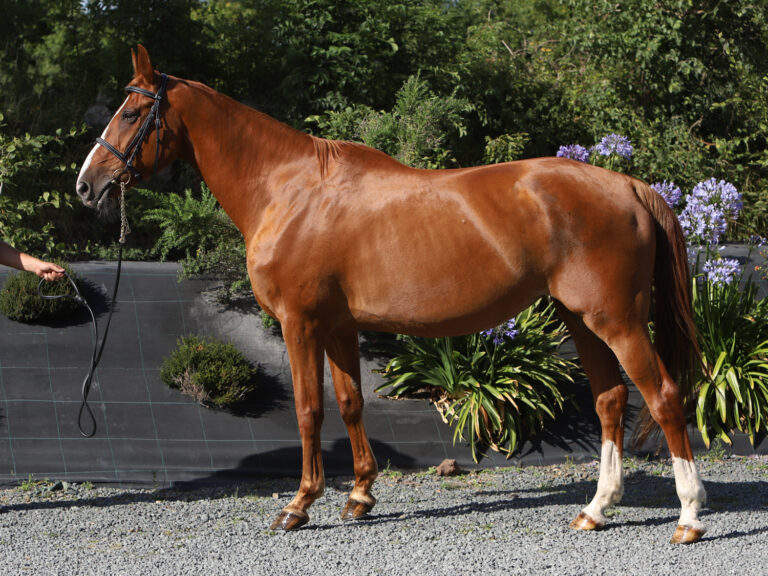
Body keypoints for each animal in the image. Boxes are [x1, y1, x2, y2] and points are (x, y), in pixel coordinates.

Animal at [75, 45, 706, 544]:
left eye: (132, 112)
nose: (86, 185)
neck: (289, 189)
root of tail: (628, 185)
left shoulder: (299, 322)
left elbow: (308, 409)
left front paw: (299, 506)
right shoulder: (338, 325)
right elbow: (351, 402)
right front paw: (359, 497)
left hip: (618, 321)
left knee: (664, 397)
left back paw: (689, 518)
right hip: (582, 320)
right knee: (610, 401)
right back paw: (596, 510)